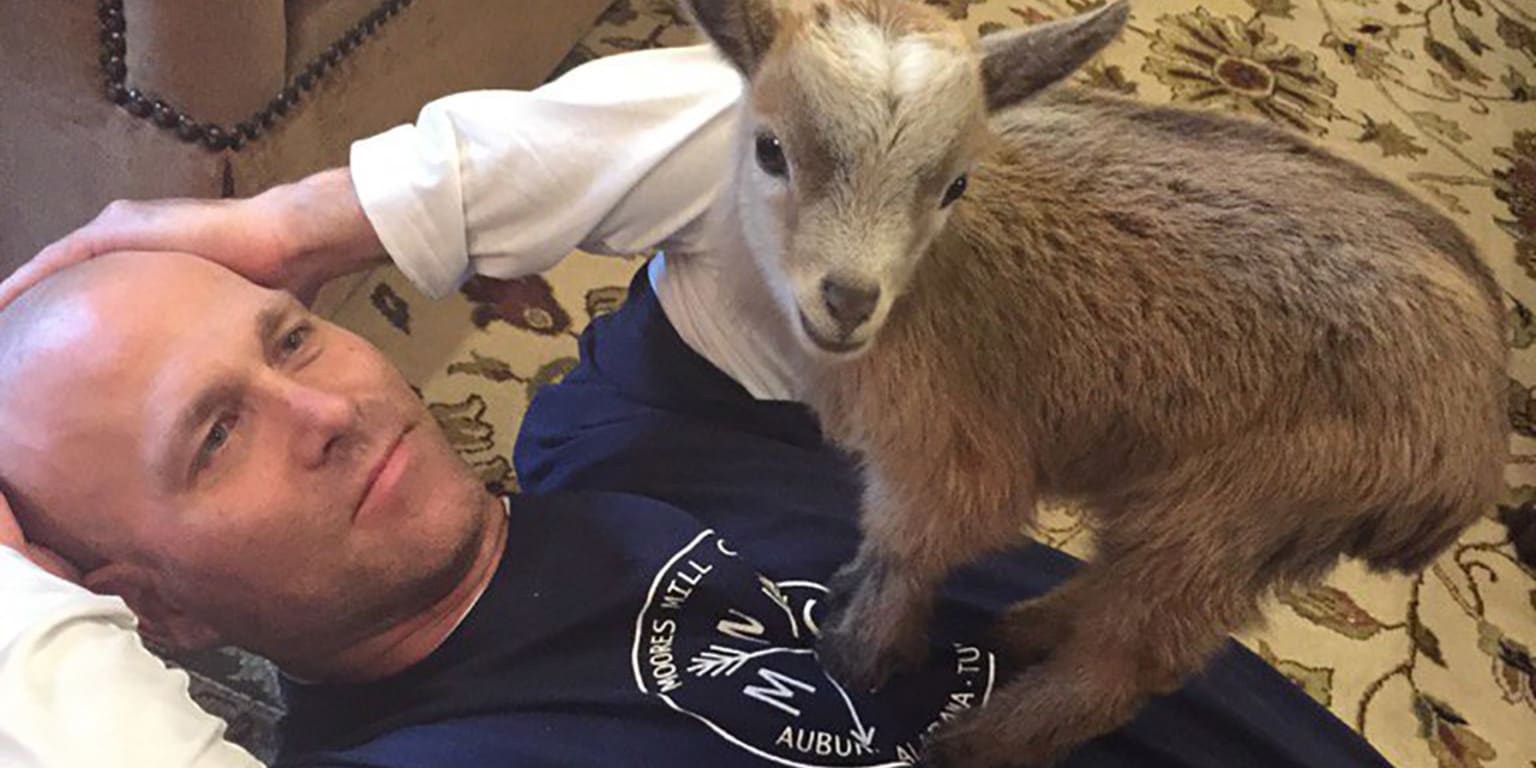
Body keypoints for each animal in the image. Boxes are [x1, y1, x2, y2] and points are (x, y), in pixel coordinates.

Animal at [676, 0, 1508, 764]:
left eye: (954, 185)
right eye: (770, 149)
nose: (849, 302)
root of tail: (1478, 451)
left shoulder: (956, 454)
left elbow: (912, 550)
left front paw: (861, 656)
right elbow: (883, 545)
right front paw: (853, 592)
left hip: (1240, 507)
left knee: (1130, 663)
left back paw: (979, 741)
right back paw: (1027, 628)